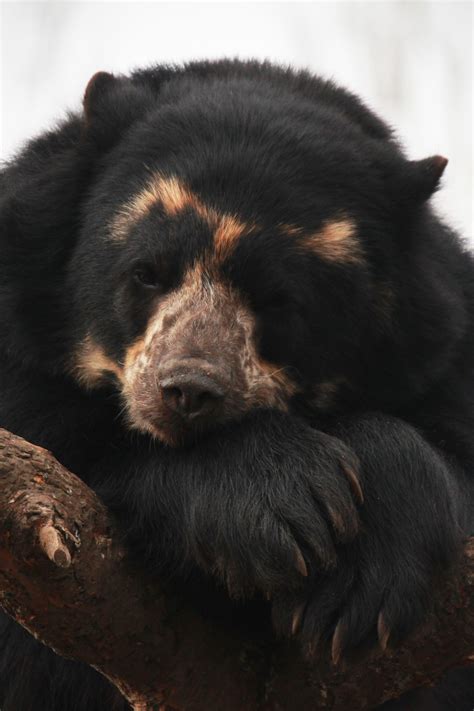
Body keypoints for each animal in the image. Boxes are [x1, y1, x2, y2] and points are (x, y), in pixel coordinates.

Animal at [0, 59, 473, 710]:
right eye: (146, 274)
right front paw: (285, 501)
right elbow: (49, 429)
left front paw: (355, 594)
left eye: (279, 299)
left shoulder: (445, 349)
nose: (188, 391)